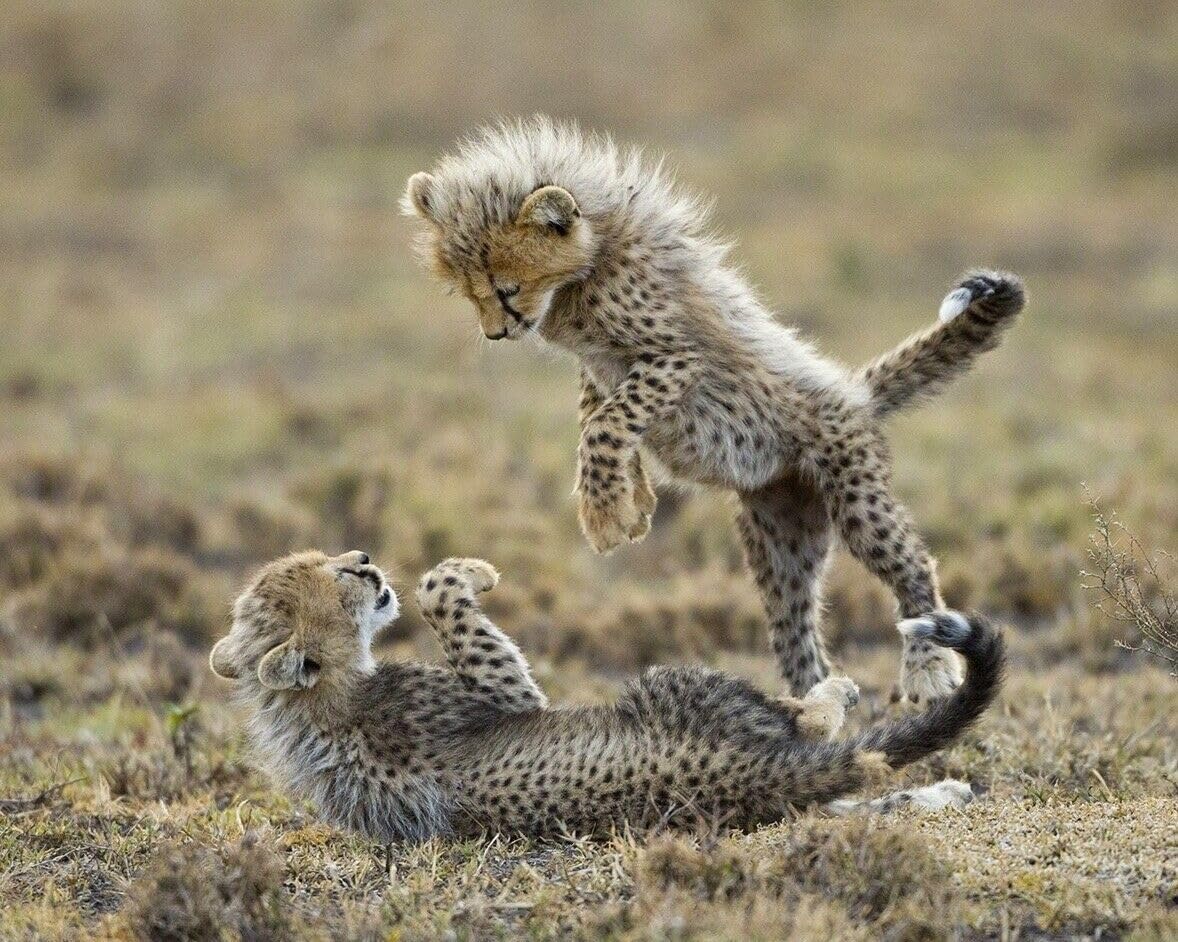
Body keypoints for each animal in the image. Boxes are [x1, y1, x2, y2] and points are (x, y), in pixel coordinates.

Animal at [208, 550, 1005, 845]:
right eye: (336, 578)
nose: (367, 562)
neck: (319, 704)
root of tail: (739, 779)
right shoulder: (508, 696)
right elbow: (442, 596)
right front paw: (472, 573)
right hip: (676, 685)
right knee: (812, 731)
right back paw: (829, 690)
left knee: (853, 795)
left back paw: (946, 793)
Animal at [402, 117, 1026, 702]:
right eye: (468, 292)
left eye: (505, 288)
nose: (495, 332)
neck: (589, 265)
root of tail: (853, 391)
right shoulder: (600, 366)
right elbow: (595, 411)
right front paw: (633, 501)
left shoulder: (677, 357)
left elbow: (608, 421)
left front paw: (606, 515)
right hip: (782, 542)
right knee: (796, 633)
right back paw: (813, 708)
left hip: (855, 497)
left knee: (914, 567)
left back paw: (927, 667)